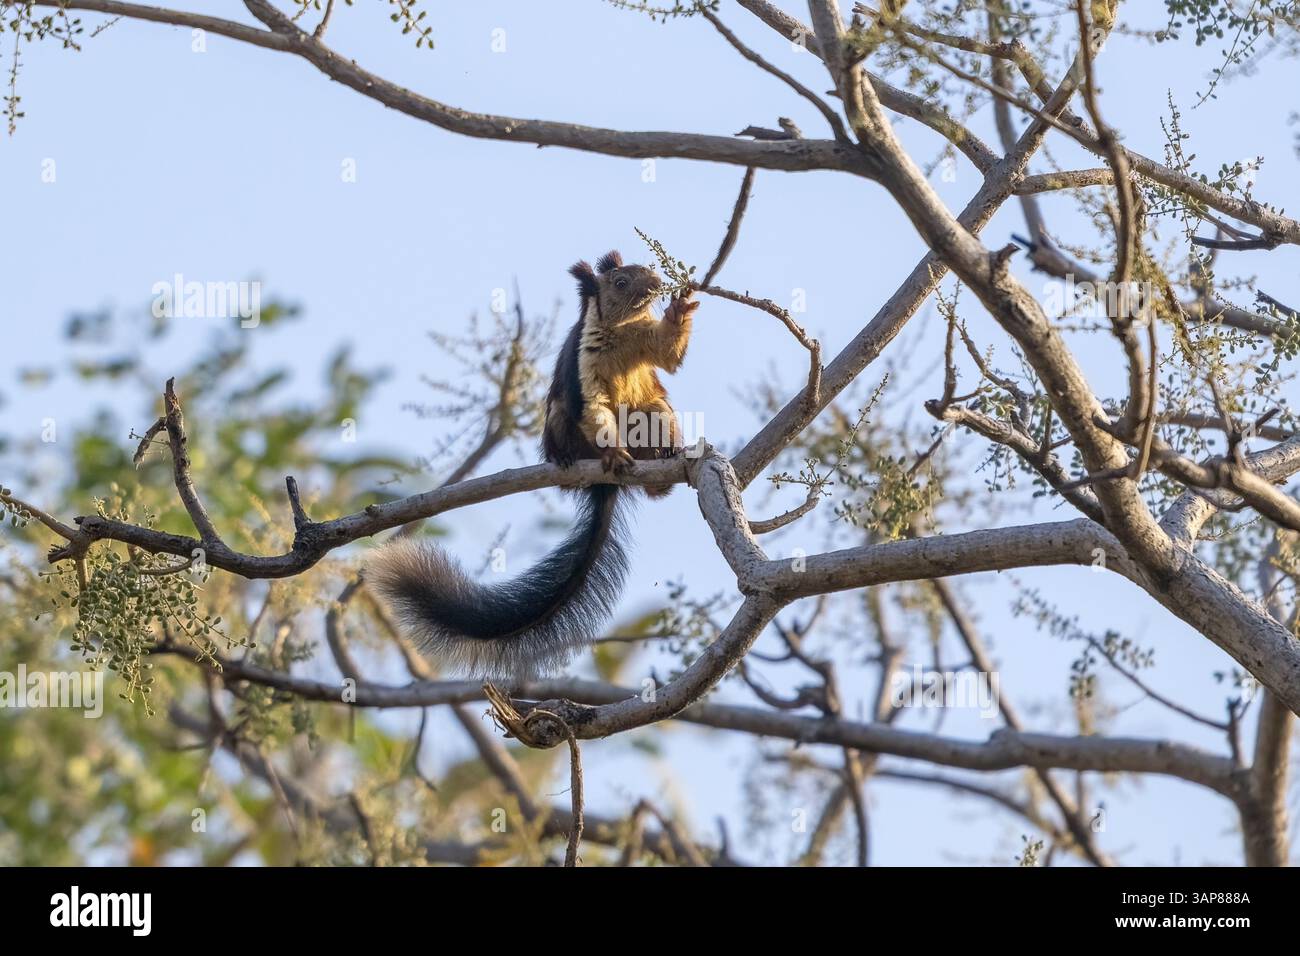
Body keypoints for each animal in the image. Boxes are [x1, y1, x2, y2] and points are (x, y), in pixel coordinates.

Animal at [367, 250, 698, 680]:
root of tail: (603, 487)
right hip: (558, 420)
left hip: (654, 411)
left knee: (656, 423)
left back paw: (666, 461)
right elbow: (594, 410)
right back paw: (571, 461)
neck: (619, 330)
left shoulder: (645, 339)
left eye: (646, 268)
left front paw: (680, 306)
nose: (657, 282)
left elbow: (667, 353)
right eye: (620, 282)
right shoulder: (582, 368)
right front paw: (611, 452)